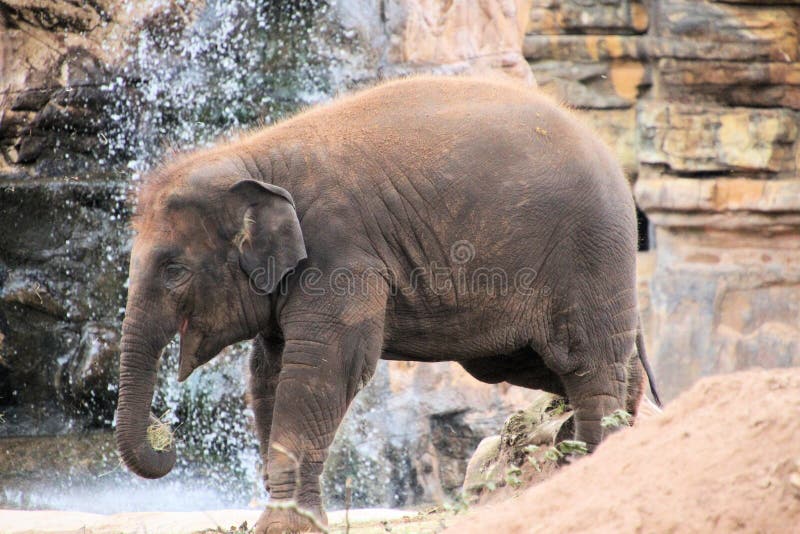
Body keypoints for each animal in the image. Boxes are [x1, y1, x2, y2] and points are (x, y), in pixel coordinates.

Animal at [115, 75, 660, 533]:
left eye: (173, 271)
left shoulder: (342, 258)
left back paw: (593, 463)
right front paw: (296, 522)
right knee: (526, 362)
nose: (165, 436)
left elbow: (323, 369)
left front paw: (286, 528)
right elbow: (268, 372)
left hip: (592, 251)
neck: (252, 157)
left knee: (584, 362)